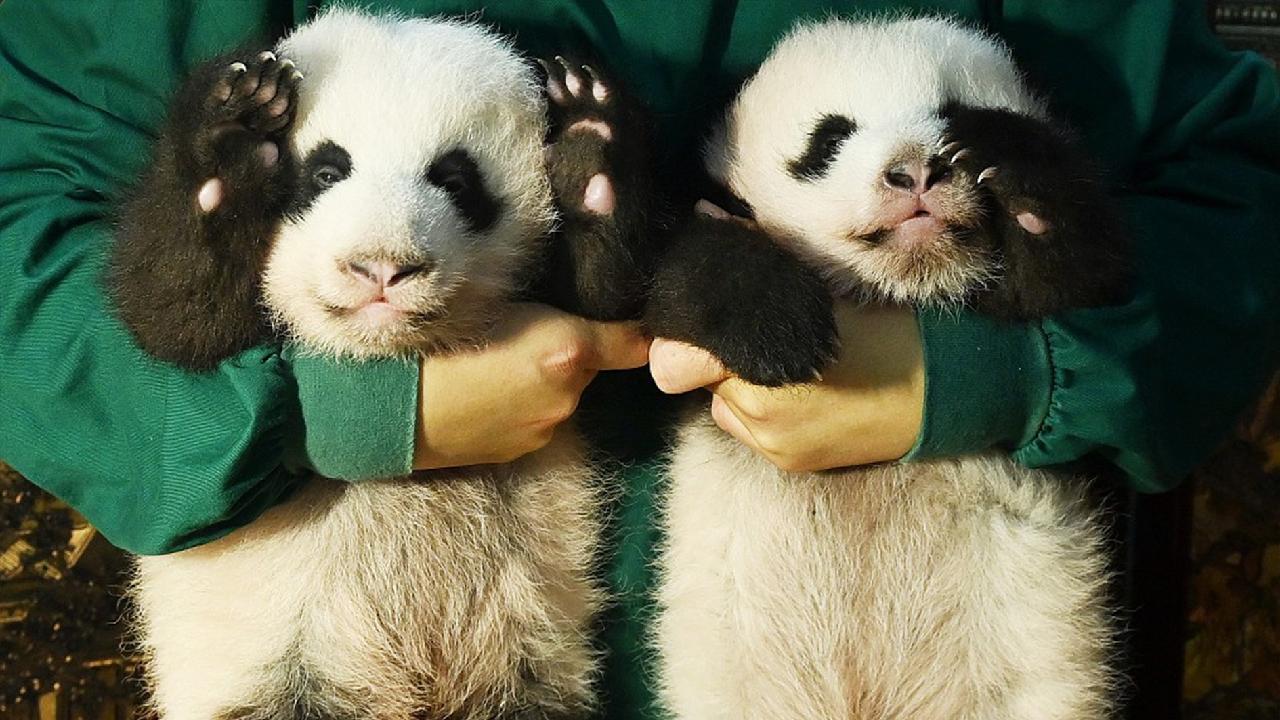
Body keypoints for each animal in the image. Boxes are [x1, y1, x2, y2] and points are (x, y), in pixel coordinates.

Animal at [110, 9, 652, 720]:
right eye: (325, 172)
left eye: (455, 180)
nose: (383, 268)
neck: (378, 348)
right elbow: (175, 314)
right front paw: (231, 143)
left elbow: (612, 293)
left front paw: (590, 141)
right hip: (280, 665)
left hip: (528, 655)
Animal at [645, 17, 1130, 720]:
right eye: (829, 138)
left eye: (953, 111)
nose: (916, 171)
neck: (901, 284)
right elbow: (660, 271)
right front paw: (779, 330)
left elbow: (1081, 275)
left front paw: (1017, 175)